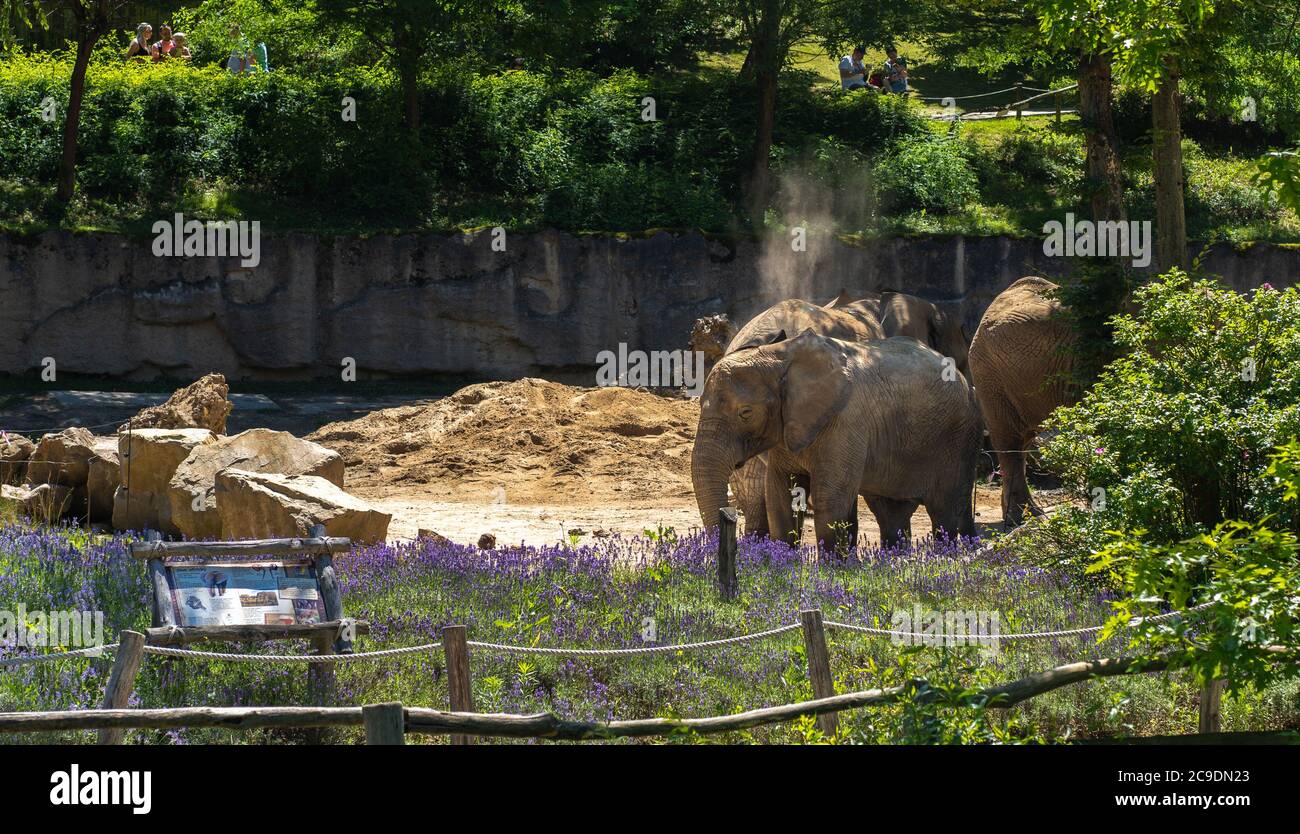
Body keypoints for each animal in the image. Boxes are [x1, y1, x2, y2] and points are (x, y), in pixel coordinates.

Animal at [691, 327, 977, 548]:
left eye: (746, 413)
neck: (780, 355)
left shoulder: (846, 422)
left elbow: (830, 499)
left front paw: (833, 572)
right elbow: (780, 498)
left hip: (956, 437)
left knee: (945, 510)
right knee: (890, 513)